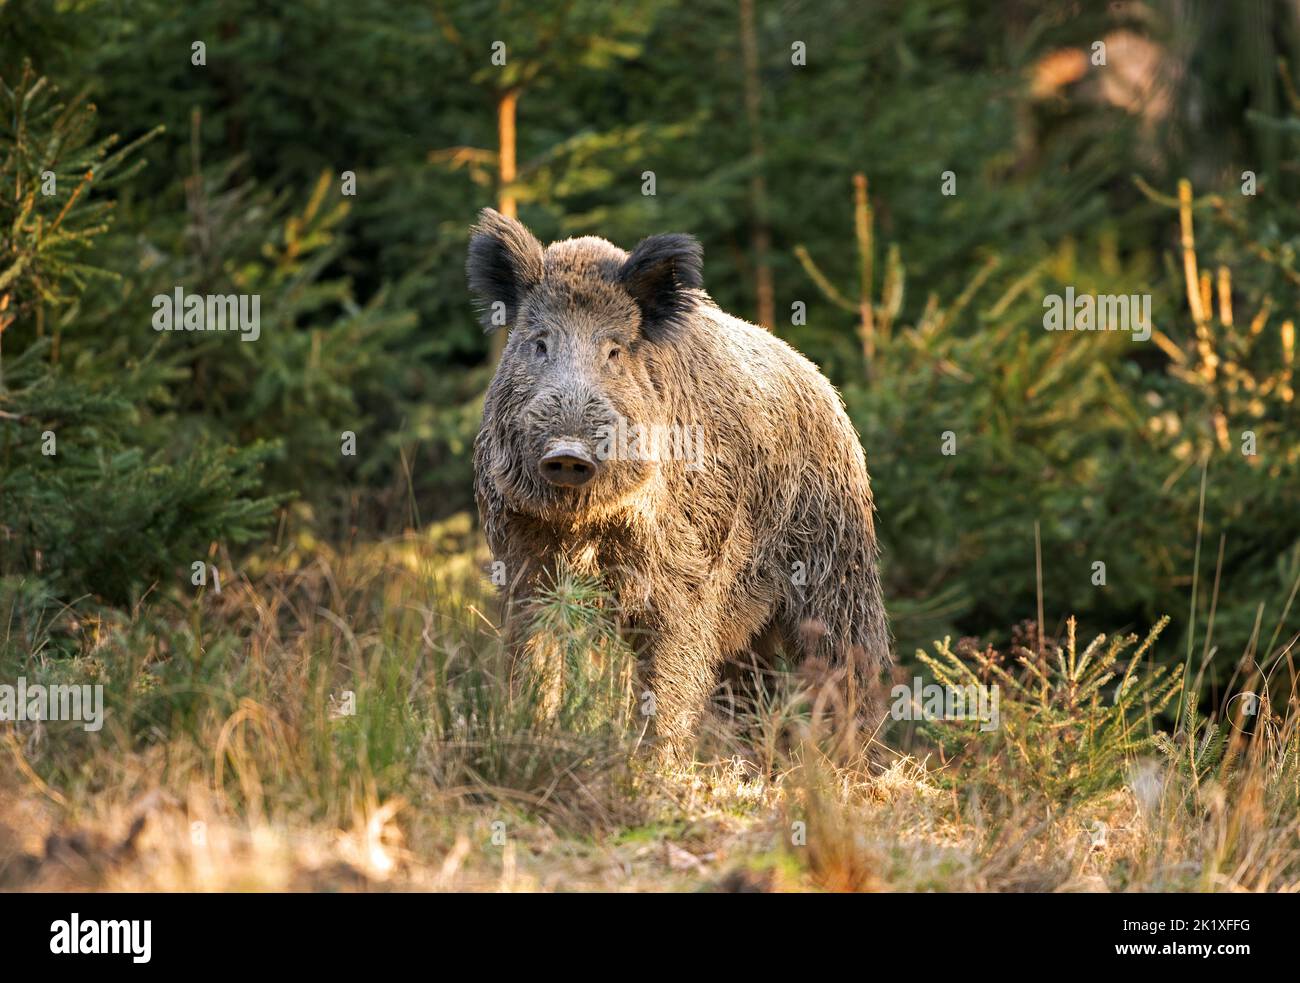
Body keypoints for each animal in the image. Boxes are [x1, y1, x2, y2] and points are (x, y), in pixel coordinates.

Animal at [468, 208, 890, 764]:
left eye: (615, 351)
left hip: (836, 561)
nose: (568, 452)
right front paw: (529, 733)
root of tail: (827, 391)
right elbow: (535, 650)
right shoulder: (521, 558)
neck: (586, 524)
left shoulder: (685, 573)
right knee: (749, 686)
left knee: (846, 658)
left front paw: (653, 767)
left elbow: (671, 669)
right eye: (538, 344)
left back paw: (850, 762)